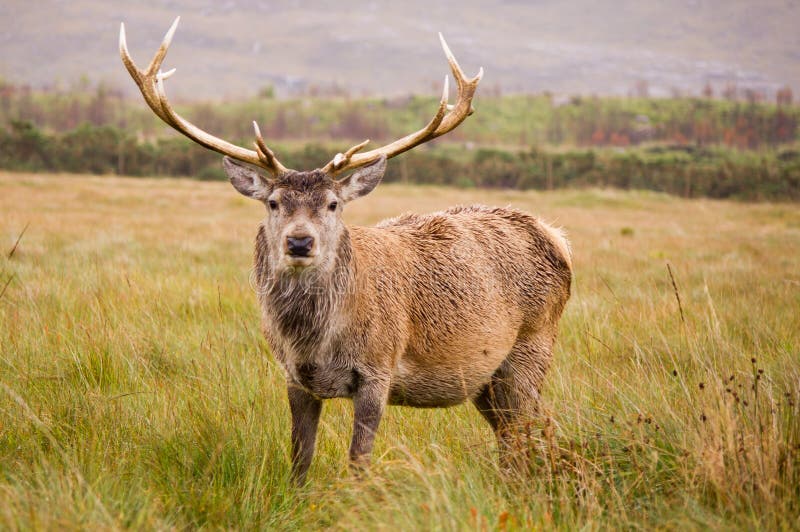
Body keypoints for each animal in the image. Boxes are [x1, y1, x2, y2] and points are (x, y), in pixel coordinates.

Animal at [120, 17, 572, 484]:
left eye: (333, 203)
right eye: (273, 202)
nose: (300, 241)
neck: (315, 341)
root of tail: (556, 237)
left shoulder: (378, 369)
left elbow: (358, 462)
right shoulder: (294, 377)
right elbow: (299, 459)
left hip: (532, 347)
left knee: (540, 428)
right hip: (486, 378)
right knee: (512, 436)